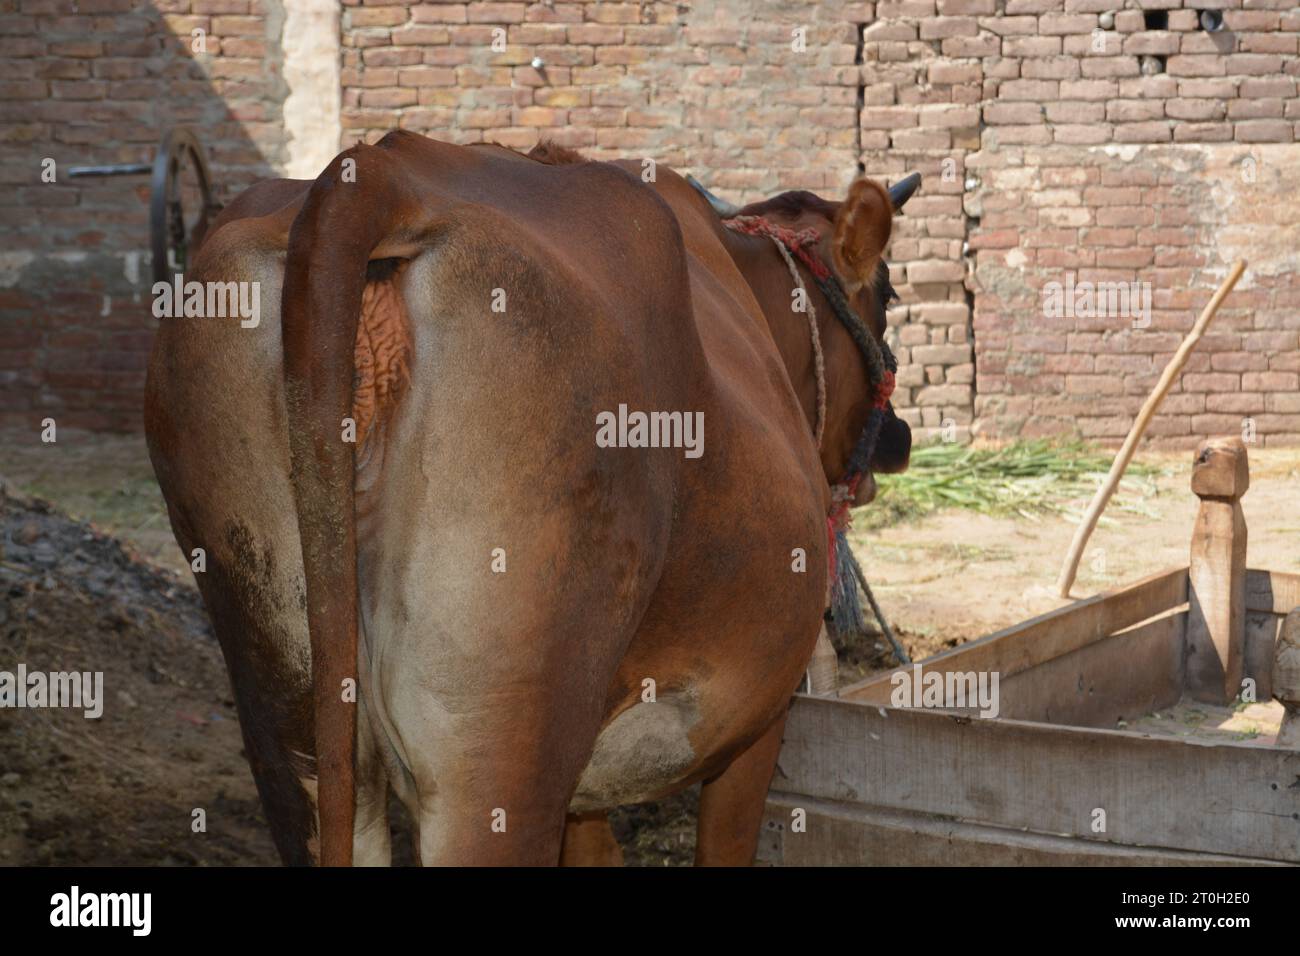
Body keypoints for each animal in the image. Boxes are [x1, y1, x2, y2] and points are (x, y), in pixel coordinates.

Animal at [144, 130, 914, 866]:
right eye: (887, 295)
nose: (898, 440)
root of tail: (382, 173)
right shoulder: (759, 722)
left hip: (292, 720)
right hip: (496, 741)